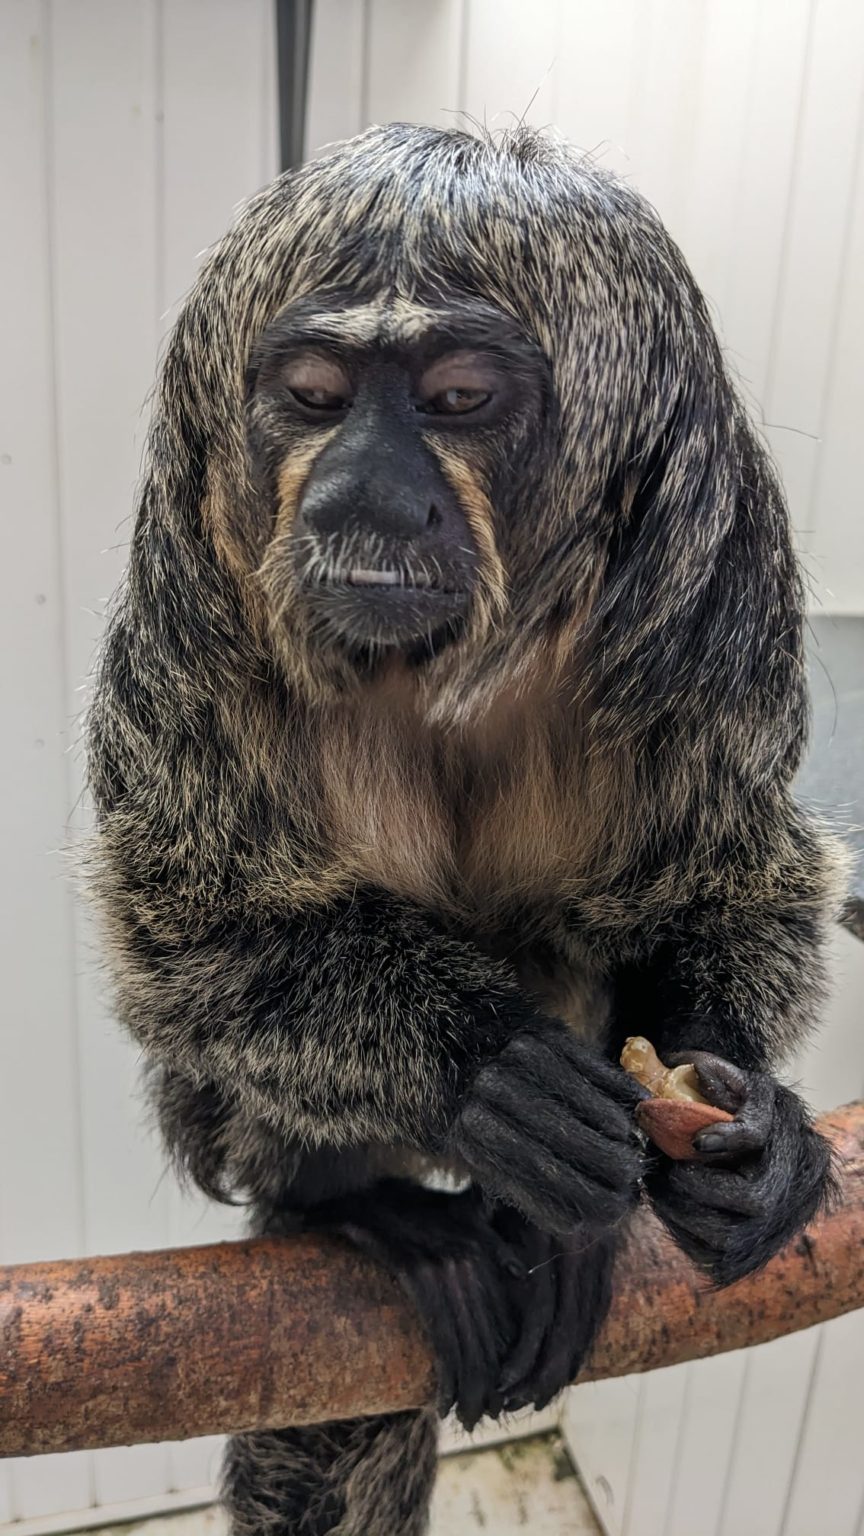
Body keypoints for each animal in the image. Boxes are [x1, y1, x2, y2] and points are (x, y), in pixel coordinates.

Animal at [86, 123, 845, 1535]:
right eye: (315, 395)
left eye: (455, 400)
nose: (362, 498)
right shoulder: (193, 572)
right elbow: (193, 924)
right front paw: (482, 1068)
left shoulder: (714, 570)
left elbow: (723, 873)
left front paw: (756, 1136)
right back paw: (375, 1212)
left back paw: (553, 1233)